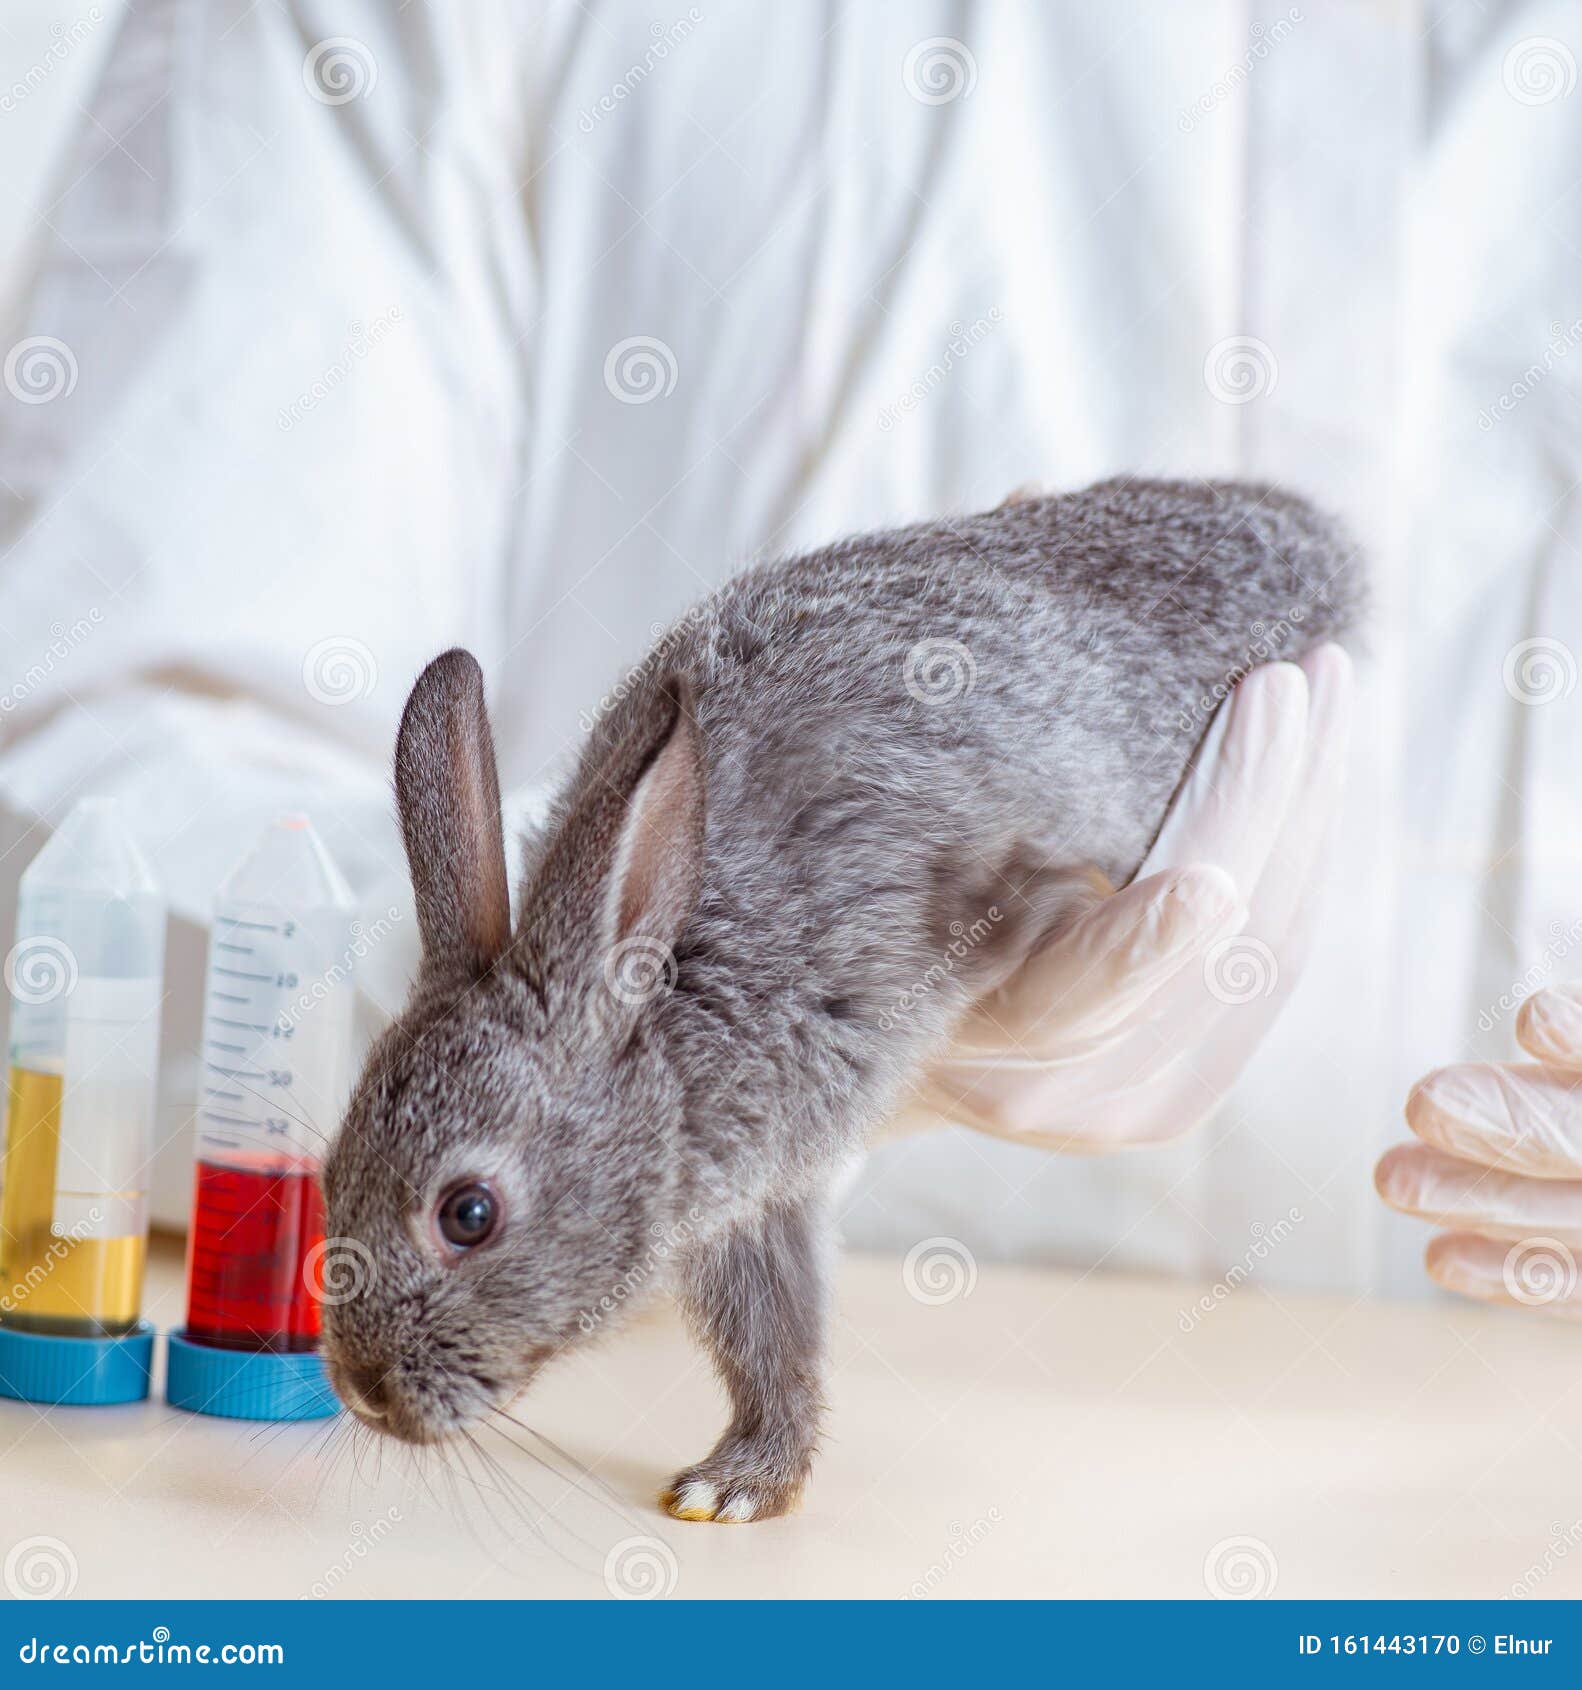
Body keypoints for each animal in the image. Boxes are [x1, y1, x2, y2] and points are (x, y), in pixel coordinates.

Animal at [320, 476, 1362, 1524]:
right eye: (331, 1175)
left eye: (468, 1214)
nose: (362, 1392)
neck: (669, 1018)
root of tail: (1322, 540)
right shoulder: (756, 1190)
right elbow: (771, 1343)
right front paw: (738, 1482)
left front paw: (734, 1488)